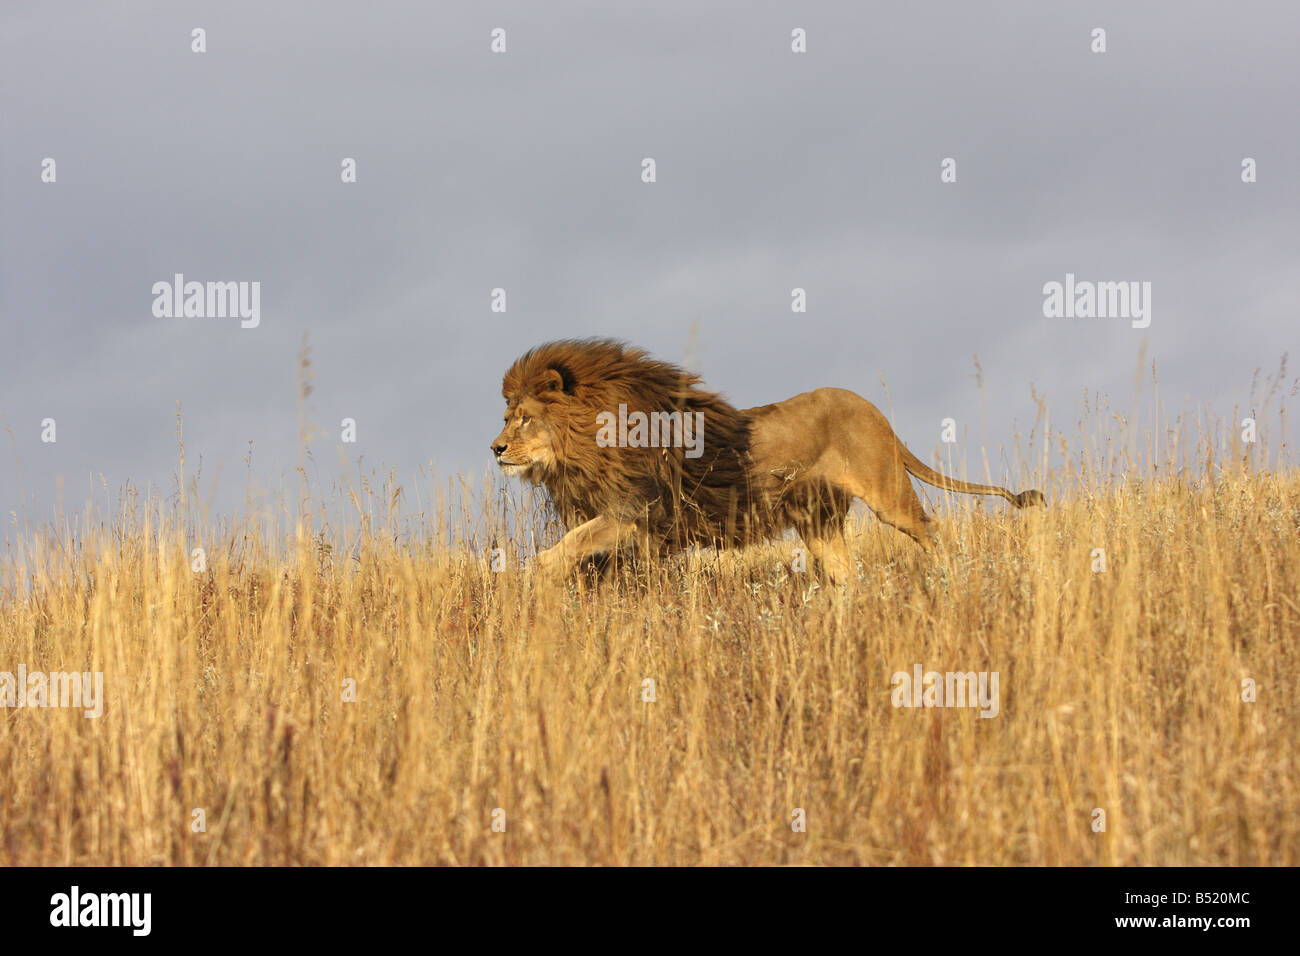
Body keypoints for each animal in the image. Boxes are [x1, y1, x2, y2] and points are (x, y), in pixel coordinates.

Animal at [491, 339, 1044, 579]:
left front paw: (540, 576)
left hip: (887, 492)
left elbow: (567, 545)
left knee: (931, 530)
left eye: (524, 419)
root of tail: (876, 412)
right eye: (507, 416)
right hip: (817, 519)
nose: (494, 449)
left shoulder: (640, 511)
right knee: (845, 573)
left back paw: (951, 577)